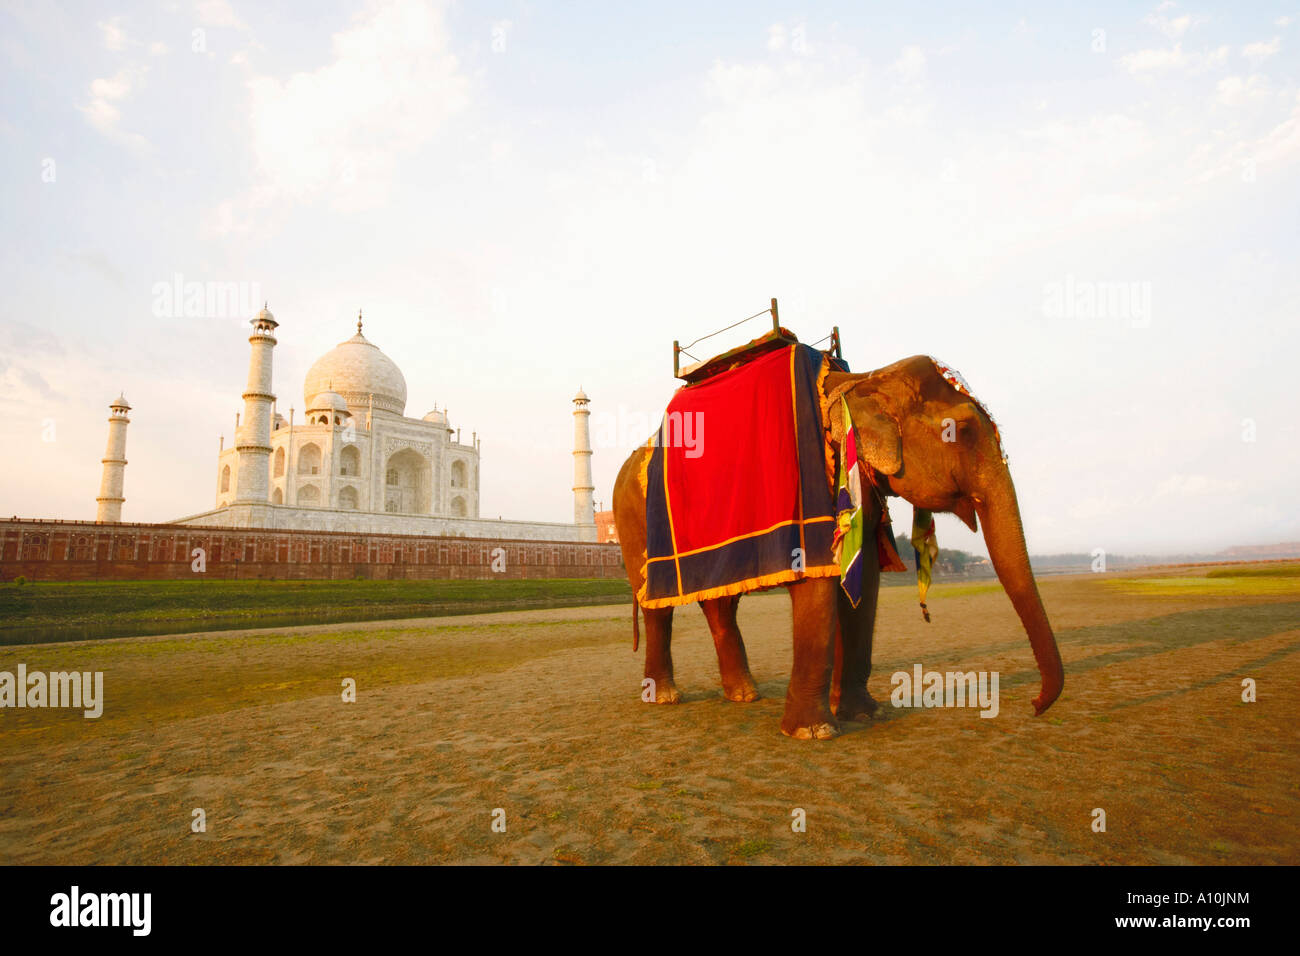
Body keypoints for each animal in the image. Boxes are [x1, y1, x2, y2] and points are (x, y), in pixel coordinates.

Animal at [611, 354, 1064, 739]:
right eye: (964, 432)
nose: (1035, 704)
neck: (862, 379)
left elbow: (864, 579)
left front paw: (863, 714)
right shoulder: (806, 487)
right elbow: (819, 580)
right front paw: (813, 732)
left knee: (721, 604)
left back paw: (744, 695)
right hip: (632, 521)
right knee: (657, 608)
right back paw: (664, 697)